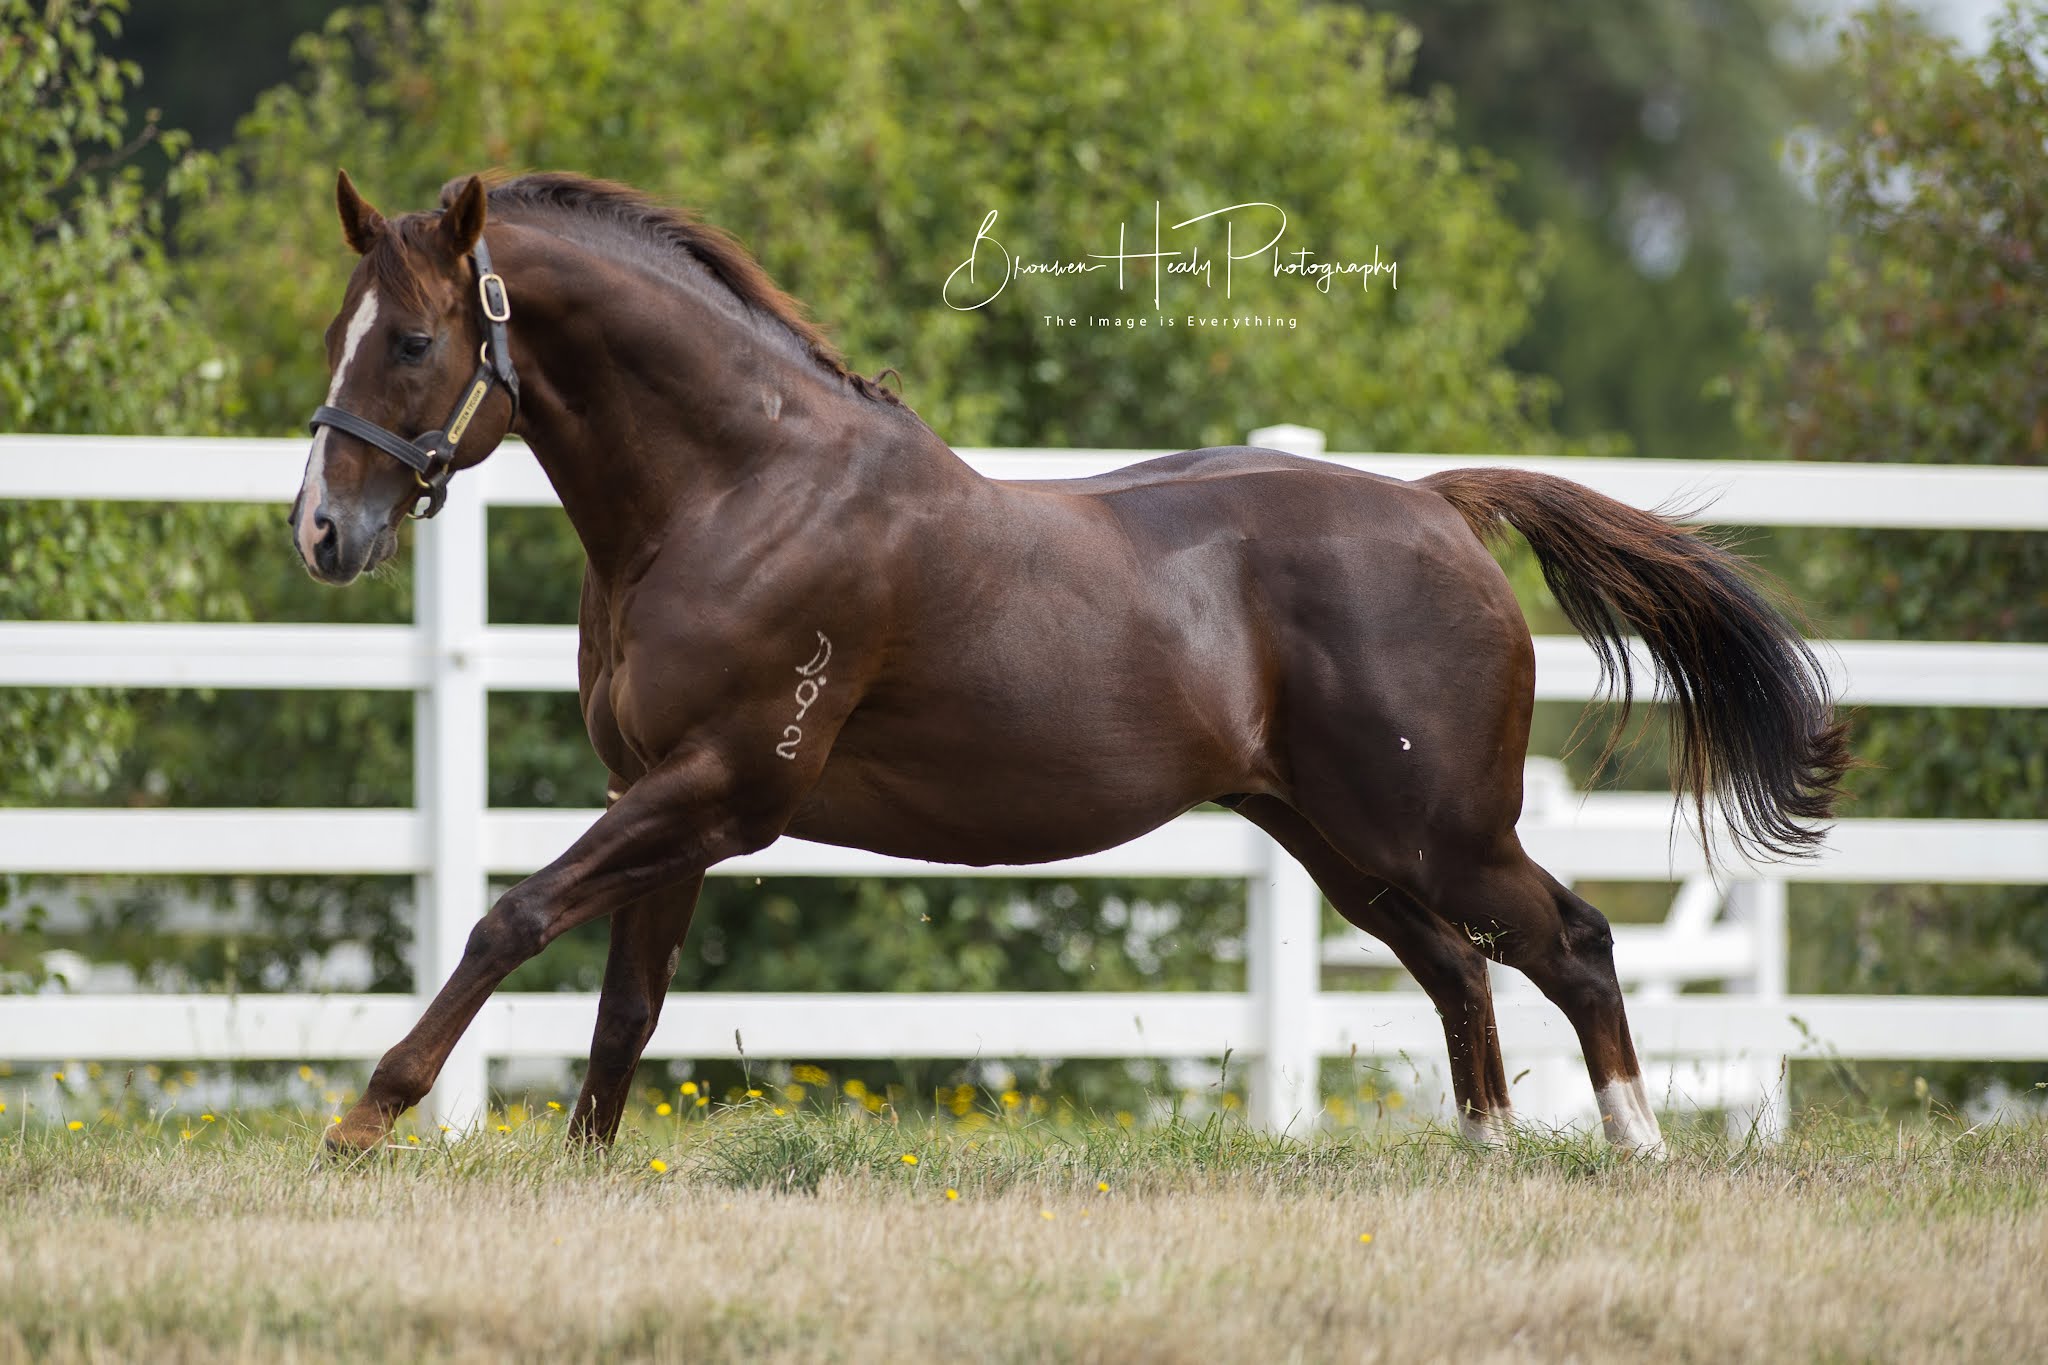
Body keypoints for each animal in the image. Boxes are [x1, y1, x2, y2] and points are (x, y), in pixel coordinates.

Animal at [294, 171, 1850, 1158]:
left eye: (416, 340)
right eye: (336, 333)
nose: (321, 530)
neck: (737, 491)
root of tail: (1437, 507)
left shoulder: (722, 789)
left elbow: (508, 918)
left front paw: (367, 1116)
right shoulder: (666, 803)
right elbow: (625, 1007)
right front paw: (581, 1169)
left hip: (1441, 828)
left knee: (1568, 943)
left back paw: (1635, 1154)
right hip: (1342, 842)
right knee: (1461, 973)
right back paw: (1490, 1157)